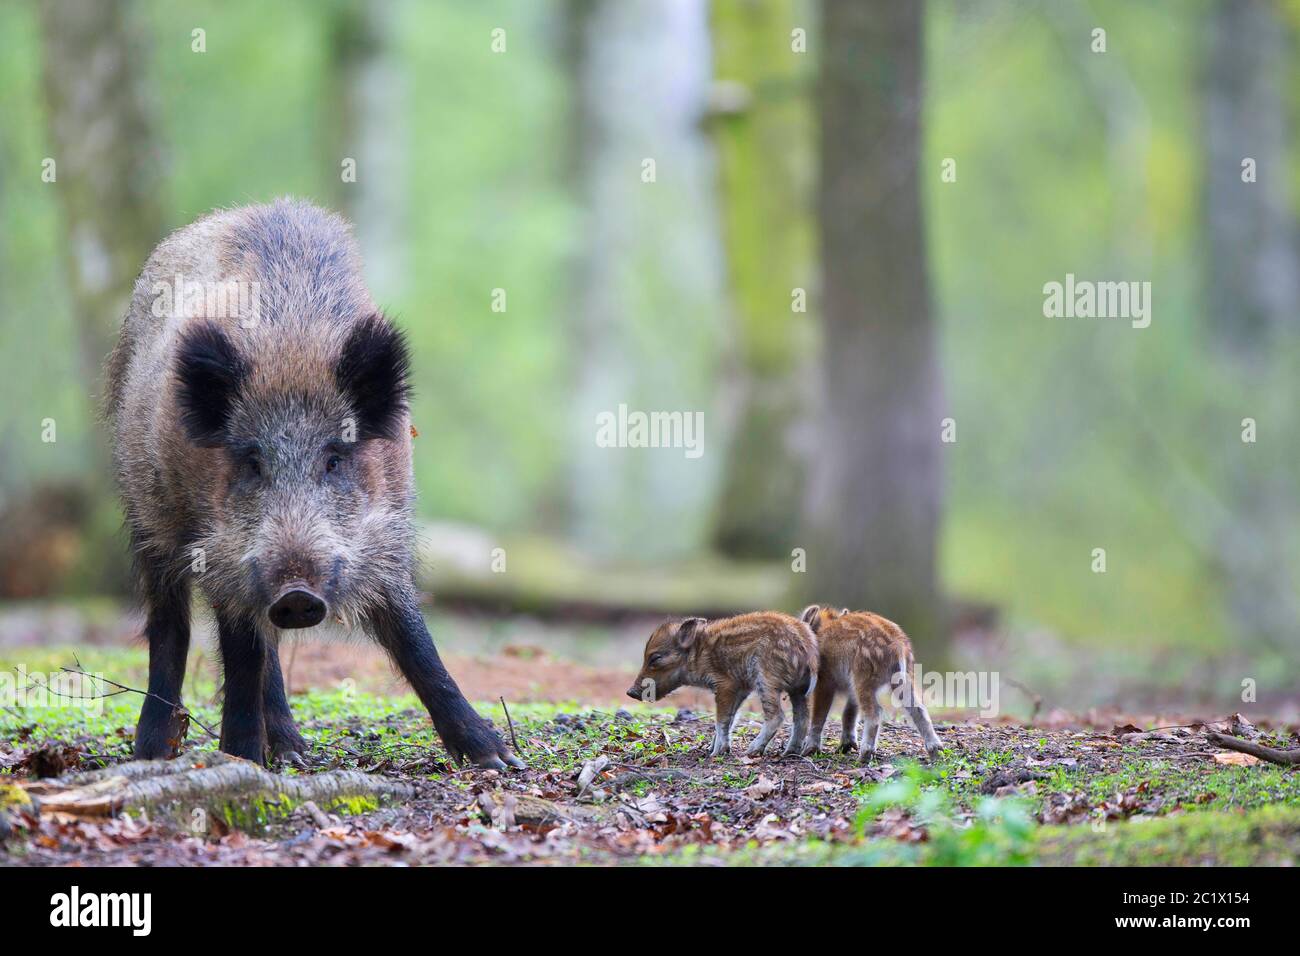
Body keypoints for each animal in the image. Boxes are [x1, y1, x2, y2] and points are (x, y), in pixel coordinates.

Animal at [105, 198, 521, 770]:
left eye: (334, 458)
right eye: (251, 460)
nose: (297, 594)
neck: (292, 351)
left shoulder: (387, 530)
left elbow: (414, 640)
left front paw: (497, 759)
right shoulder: (225, 549)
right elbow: (239, 651)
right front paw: (241, 761)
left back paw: (292, 752)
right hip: (149, 515)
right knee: (173, 626)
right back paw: (153, 753)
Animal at [626, 612, 818, 758]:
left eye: (655, 658)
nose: (630, 692)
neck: (697, 654)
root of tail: (808, 648)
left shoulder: (725, 685)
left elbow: (721, 720)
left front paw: (717, 752)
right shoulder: (741, 689)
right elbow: (730, 719)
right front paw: (712, 749)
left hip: (767, 680)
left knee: (777, 716)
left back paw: (752, 750)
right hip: (798, 689)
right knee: (802, 718)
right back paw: (790, 752)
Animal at [798, 605, 943, 762]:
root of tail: (897, 645)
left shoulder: (825, 680)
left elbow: (819, 714)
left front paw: (810, 750)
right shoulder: (851, 687)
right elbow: (850, 712)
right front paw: (845, 746)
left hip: (864, 680)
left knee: (875, 713)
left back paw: (864, 756)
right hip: (903, 680)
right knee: (919, 710)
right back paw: (936, 753)